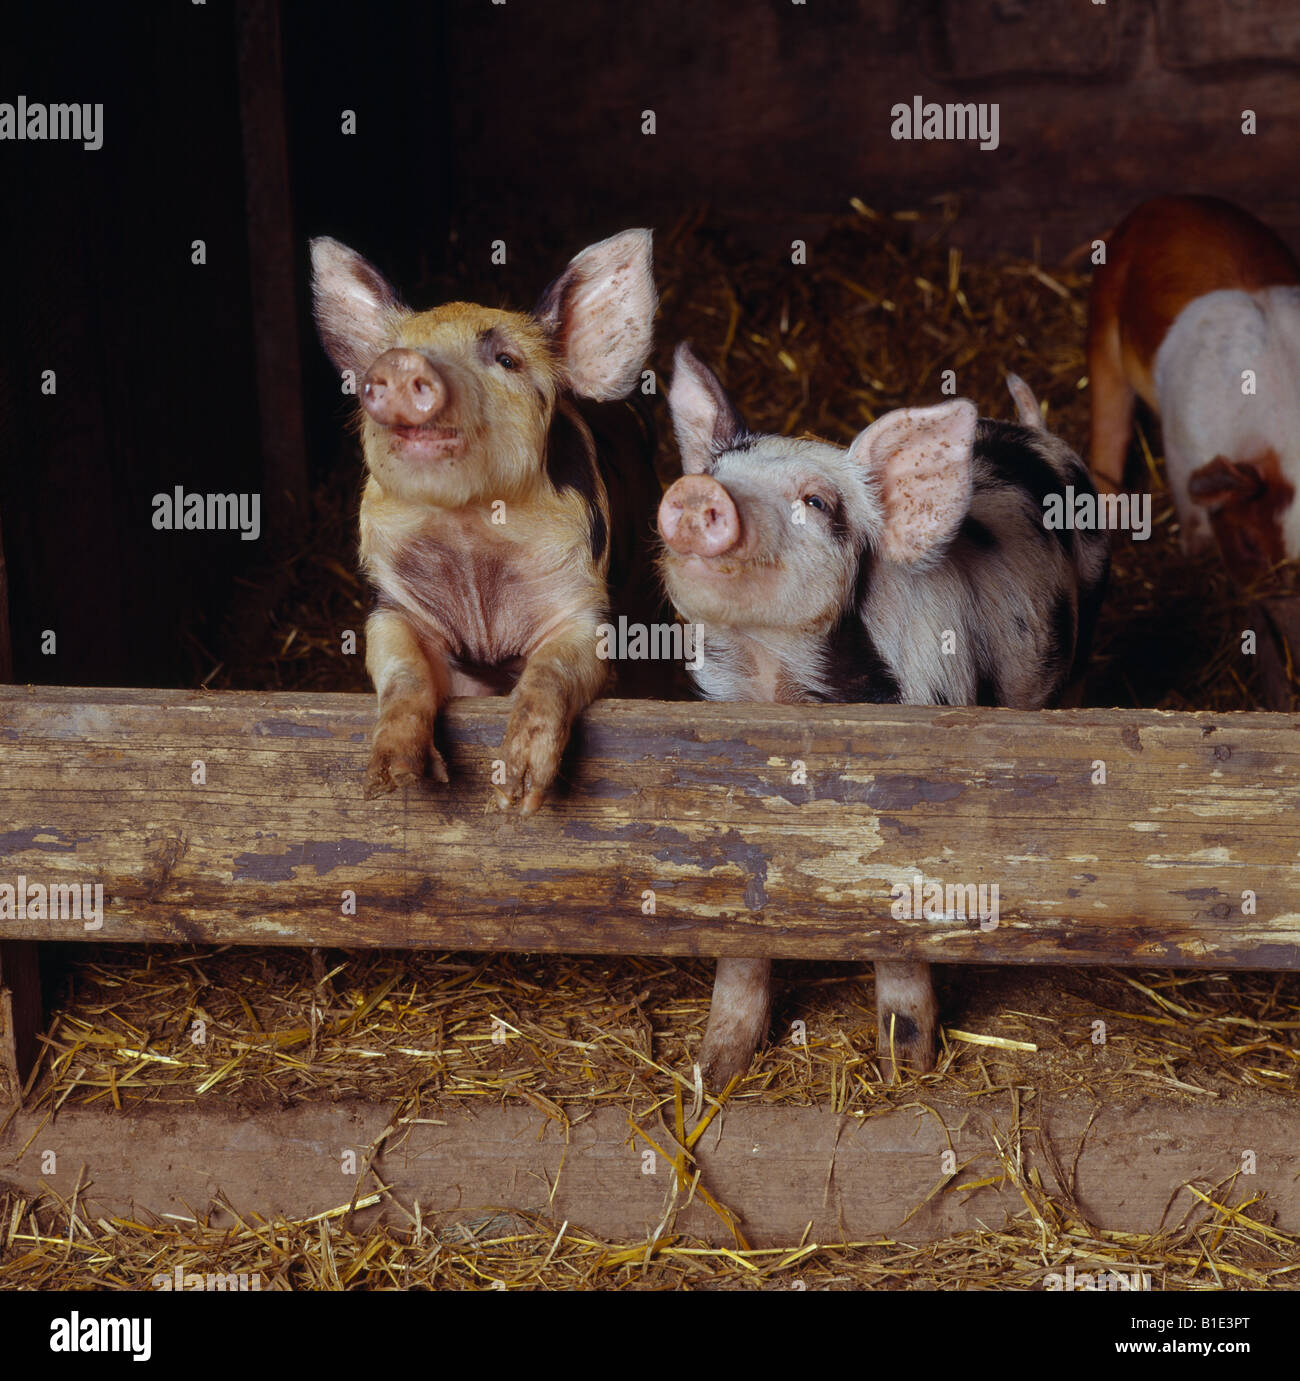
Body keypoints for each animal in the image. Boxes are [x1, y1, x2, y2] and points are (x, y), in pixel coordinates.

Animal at [310, 230, 662, 812]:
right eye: (390, 353)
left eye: (506, 359)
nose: (402, 364)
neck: (470, 533)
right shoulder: (391, 608)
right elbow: (403, 675)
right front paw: (391, 778)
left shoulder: (583, 606)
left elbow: (550, 674)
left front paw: (517, 795)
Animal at [657, 343, 1109, 1086]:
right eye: (714, 475)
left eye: (816, 501)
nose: (695, 494)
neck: (781, 681)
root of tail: (1033, 430)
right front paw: (713, 1074)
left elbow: (900, 933)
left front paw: (907, 1070)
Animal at [1087, 195, 1300, 583]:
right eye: (1248, 542)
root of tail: (1153, 206)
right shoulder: (1180, 436)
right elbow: (1190, 506)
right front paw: (1193, 551)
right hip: (1102, 322)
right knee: (1110, 429)